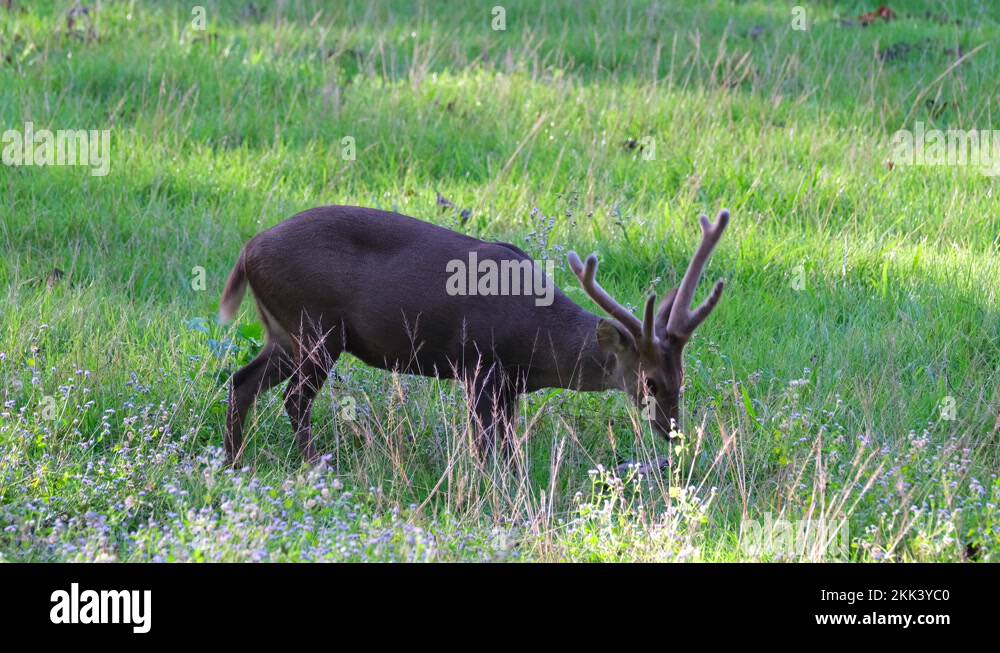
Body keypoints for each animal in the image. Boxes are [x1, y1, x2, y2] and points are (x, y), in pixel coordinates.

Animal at [218, 205, 729, 468]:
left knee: (240, 382)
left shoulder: (509, 386)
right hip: (316, 327)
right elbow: (485, 446)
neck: (537, 340)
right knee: (293, 398)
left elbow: (505, 445)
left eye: (681, 379)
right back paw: (315, 462)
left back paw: (234, 459)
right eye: (650, 382)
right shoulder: (479, 366)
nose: (672, 431)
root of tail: (246, 251)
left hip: (286, 333)